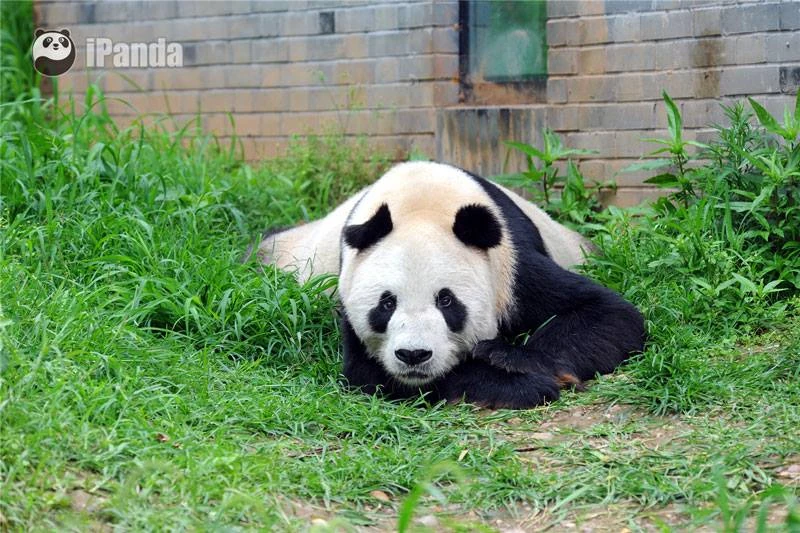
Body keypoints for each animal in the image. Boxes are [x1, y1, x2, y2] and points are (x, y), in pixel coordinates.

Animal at [256, 161, 646, 409]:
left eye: (446, 301)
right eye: (386, 304)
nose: (413, 355)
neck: (421, 204)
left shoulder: (511, 264)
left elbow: (607, 315)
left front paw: (507, 356)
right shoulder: (349, 288)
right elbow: (372, 374)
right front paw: (521, 385)